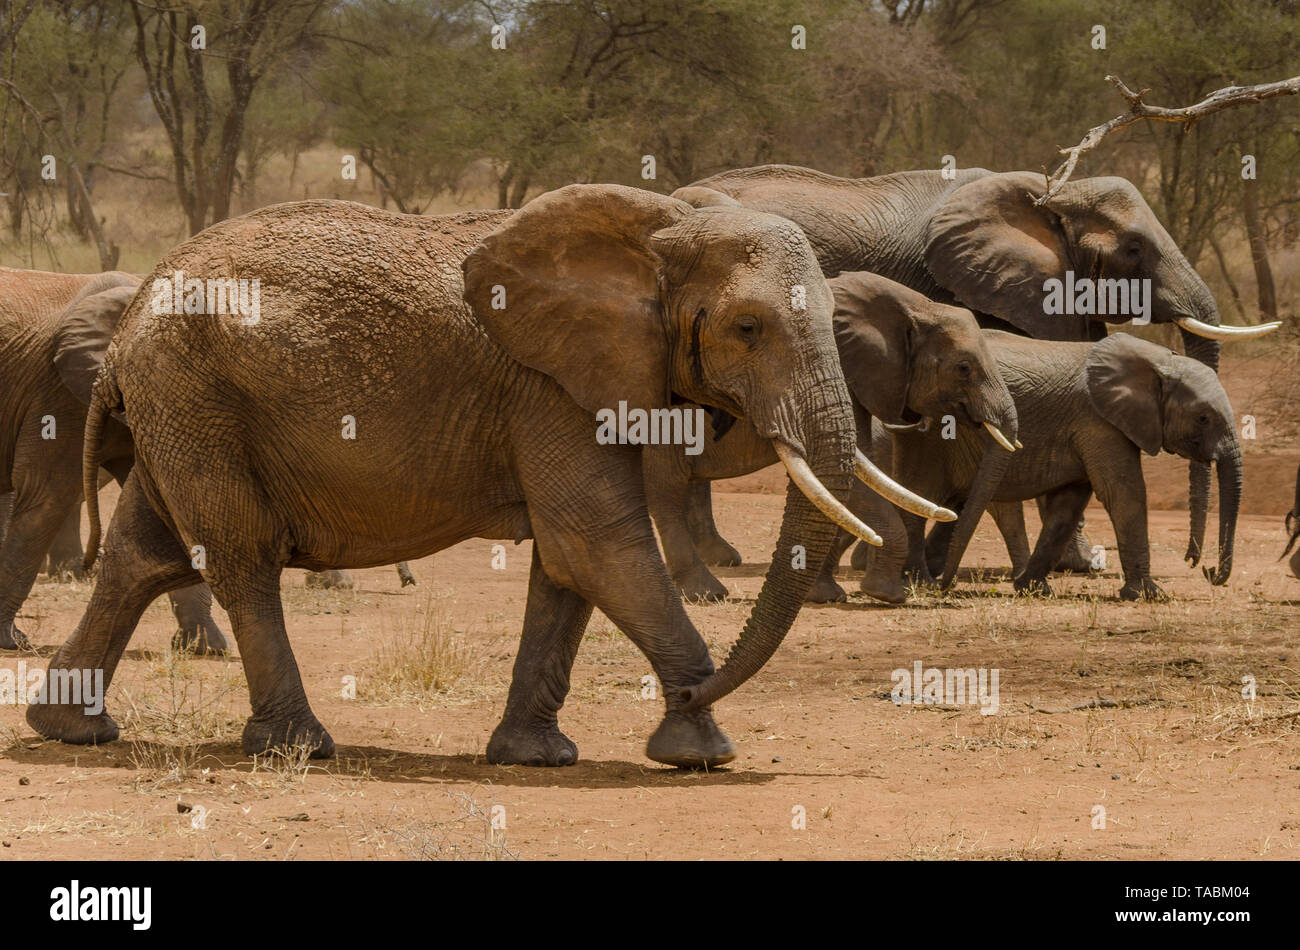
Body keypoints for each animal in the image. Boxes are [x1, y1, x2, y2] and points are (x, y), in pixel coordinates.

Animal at [26, 185, 944, 769]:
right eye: (748, 328)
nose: (691, 693)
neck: (664, 227)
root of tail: (132, 317)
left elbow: (567, 564)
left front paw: (537, 758)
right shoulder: (548, 386)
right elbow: (596, 542)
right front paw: (700, 751)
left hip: (182, 408)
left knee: (142, 554)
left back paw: (69, 730)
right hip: (199, 398)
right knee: (241, 556)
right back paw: (298, 748)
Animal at [645, 270, 1017, 605]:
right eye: (964, 368)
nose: (943, 589)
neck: (914, 304)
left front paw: (825, 594)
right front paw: (885, 594)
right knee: (666, 491)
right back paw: (705, 592)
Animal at [869, 330, 1241, 601]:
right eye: (1203, 418)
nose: (1203, 569)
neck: (1159, 360)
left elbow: (1069, 504)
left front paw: (1033, 589)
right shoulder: (1098, 422)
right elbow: (1123, 493)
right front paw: (1150, 595)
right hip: (932, 438)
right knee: (921, 496)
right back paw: (919, 582)